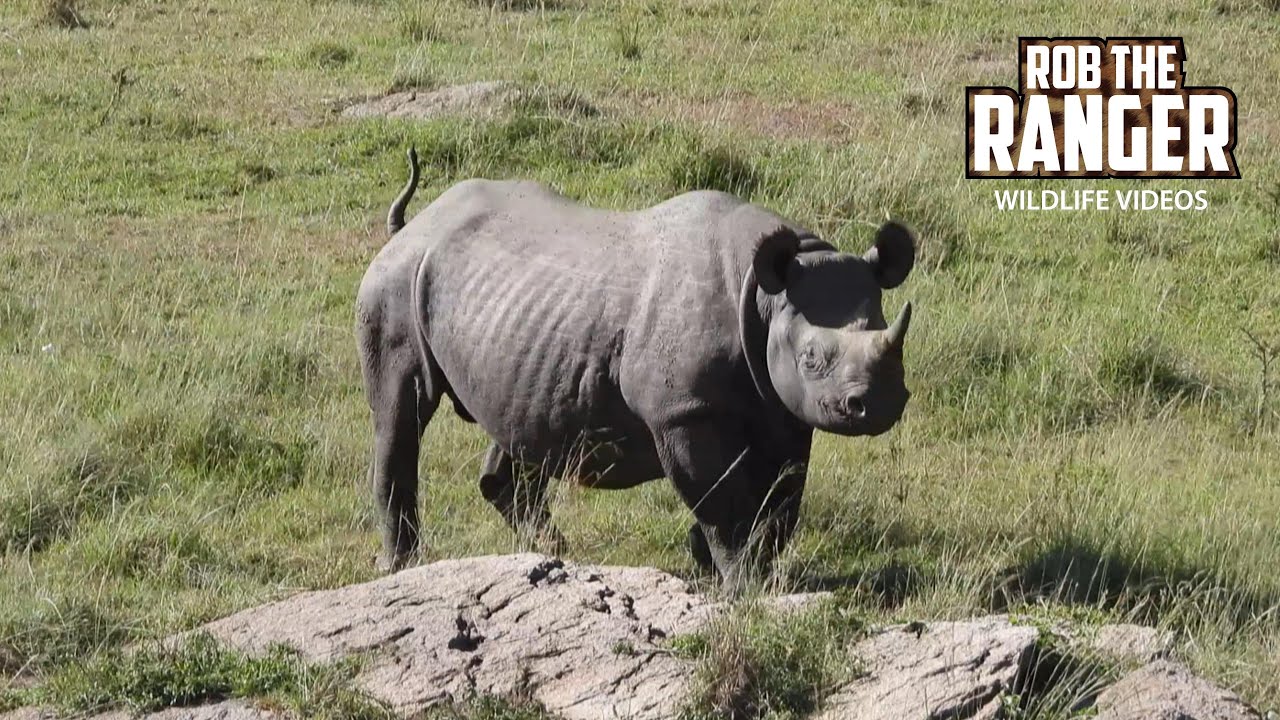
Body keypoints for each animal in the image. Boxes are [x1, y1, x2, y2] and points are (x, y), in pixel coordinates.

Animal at [356, 149, 916, 588]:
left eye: (895, 340)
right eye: (811, 358)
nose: (878, 404)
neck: (763, 296)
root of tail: (415, 225)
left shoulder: (782, 406)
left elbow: (780, 500)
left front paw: (729, 571)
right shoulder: (683, 412)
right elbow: (724, 502)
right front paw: (744, 585)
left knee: (516, 420)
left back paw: (553, 556)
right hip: (394, 280)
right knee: (400, 411)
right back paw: (401, 568)